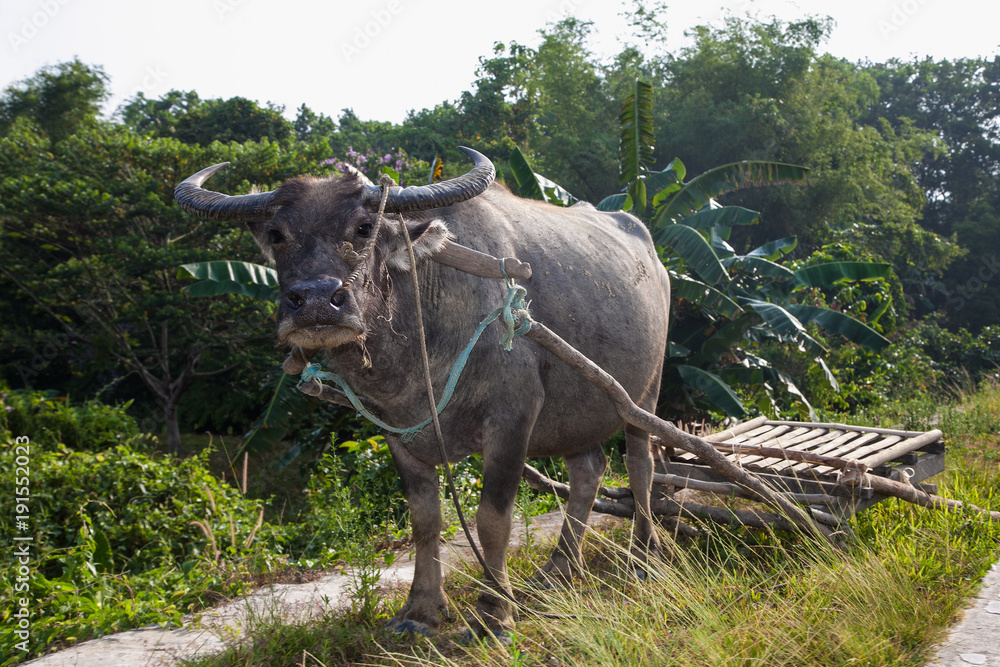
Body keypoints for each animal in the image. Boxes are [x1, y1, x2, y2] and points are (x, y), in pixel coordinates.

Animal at [174, 148, 671, 640]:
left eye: (363, 227)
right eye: (278, 234)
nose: (315, 300)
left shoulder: (512, 419)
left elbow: (493, 520)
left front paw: (493, 611)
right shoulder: (397, 431)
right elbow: (425, 519)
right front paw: (421, 610)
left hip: (644, 394)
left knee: (640, 465)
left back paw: (644, 554)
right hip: (576, 417)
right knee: (589, 471)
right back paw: (559, 569)